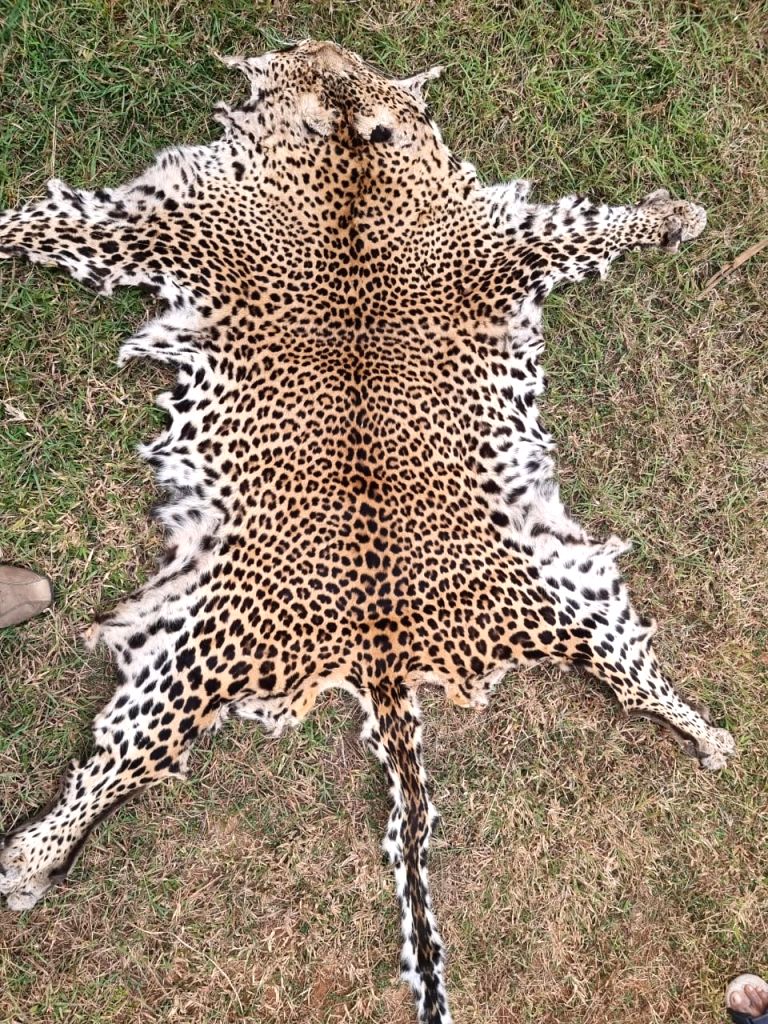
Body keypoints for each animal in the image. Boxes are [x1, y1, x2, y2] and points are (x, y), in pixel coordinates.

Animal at [0, 40, 735, 1024]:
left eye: (314, 64)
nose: (313, 44)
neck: (349, 168)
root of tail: (382, 649)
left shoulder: (166, 224)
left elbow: (43, 222)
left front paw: (668, 216)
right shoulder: (491, 247)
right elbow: (578, 234)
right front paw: (670, 217)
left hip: (223, 649)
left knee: (121, 760)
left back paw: (32, 856)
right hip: (545, 595)